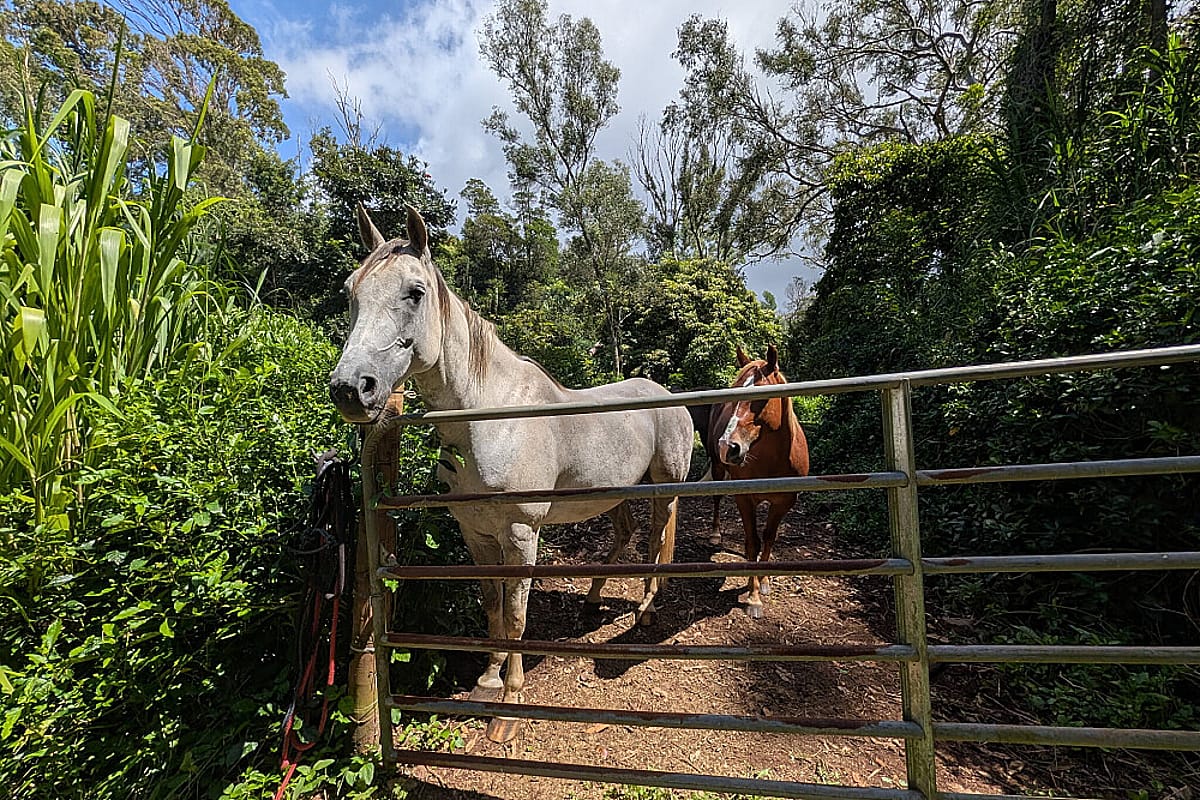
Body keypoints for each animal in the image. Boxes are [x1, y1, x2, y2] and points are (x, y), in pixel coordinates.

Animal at [328, 205, 694, 743]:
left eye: (415, 292)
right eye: (350, 290)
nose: (352, 388)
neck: (493, 417)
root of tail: (669, 398)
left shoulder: (522, 533)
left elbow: (519, 615)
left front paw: (509, 707)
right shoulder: (477, 534)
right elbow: (493, 608)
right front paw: (487, 680)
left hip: (664, 489)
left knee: (655, 542)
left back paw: (646, 612)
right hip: (615, 494)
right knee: (626, 535)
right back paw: (593, 601)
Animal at [705, 345, 809, 618]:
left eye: (762, 395)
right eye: (735, 391)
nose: (727, 446)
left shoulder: (783, 502)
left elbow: (768, 538)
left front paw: (763, 581)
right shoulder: (744, 499)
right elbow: (753, 541)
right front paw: (753, 599)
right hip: (718, 469)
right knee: (717, 500)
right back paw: (715, 534)